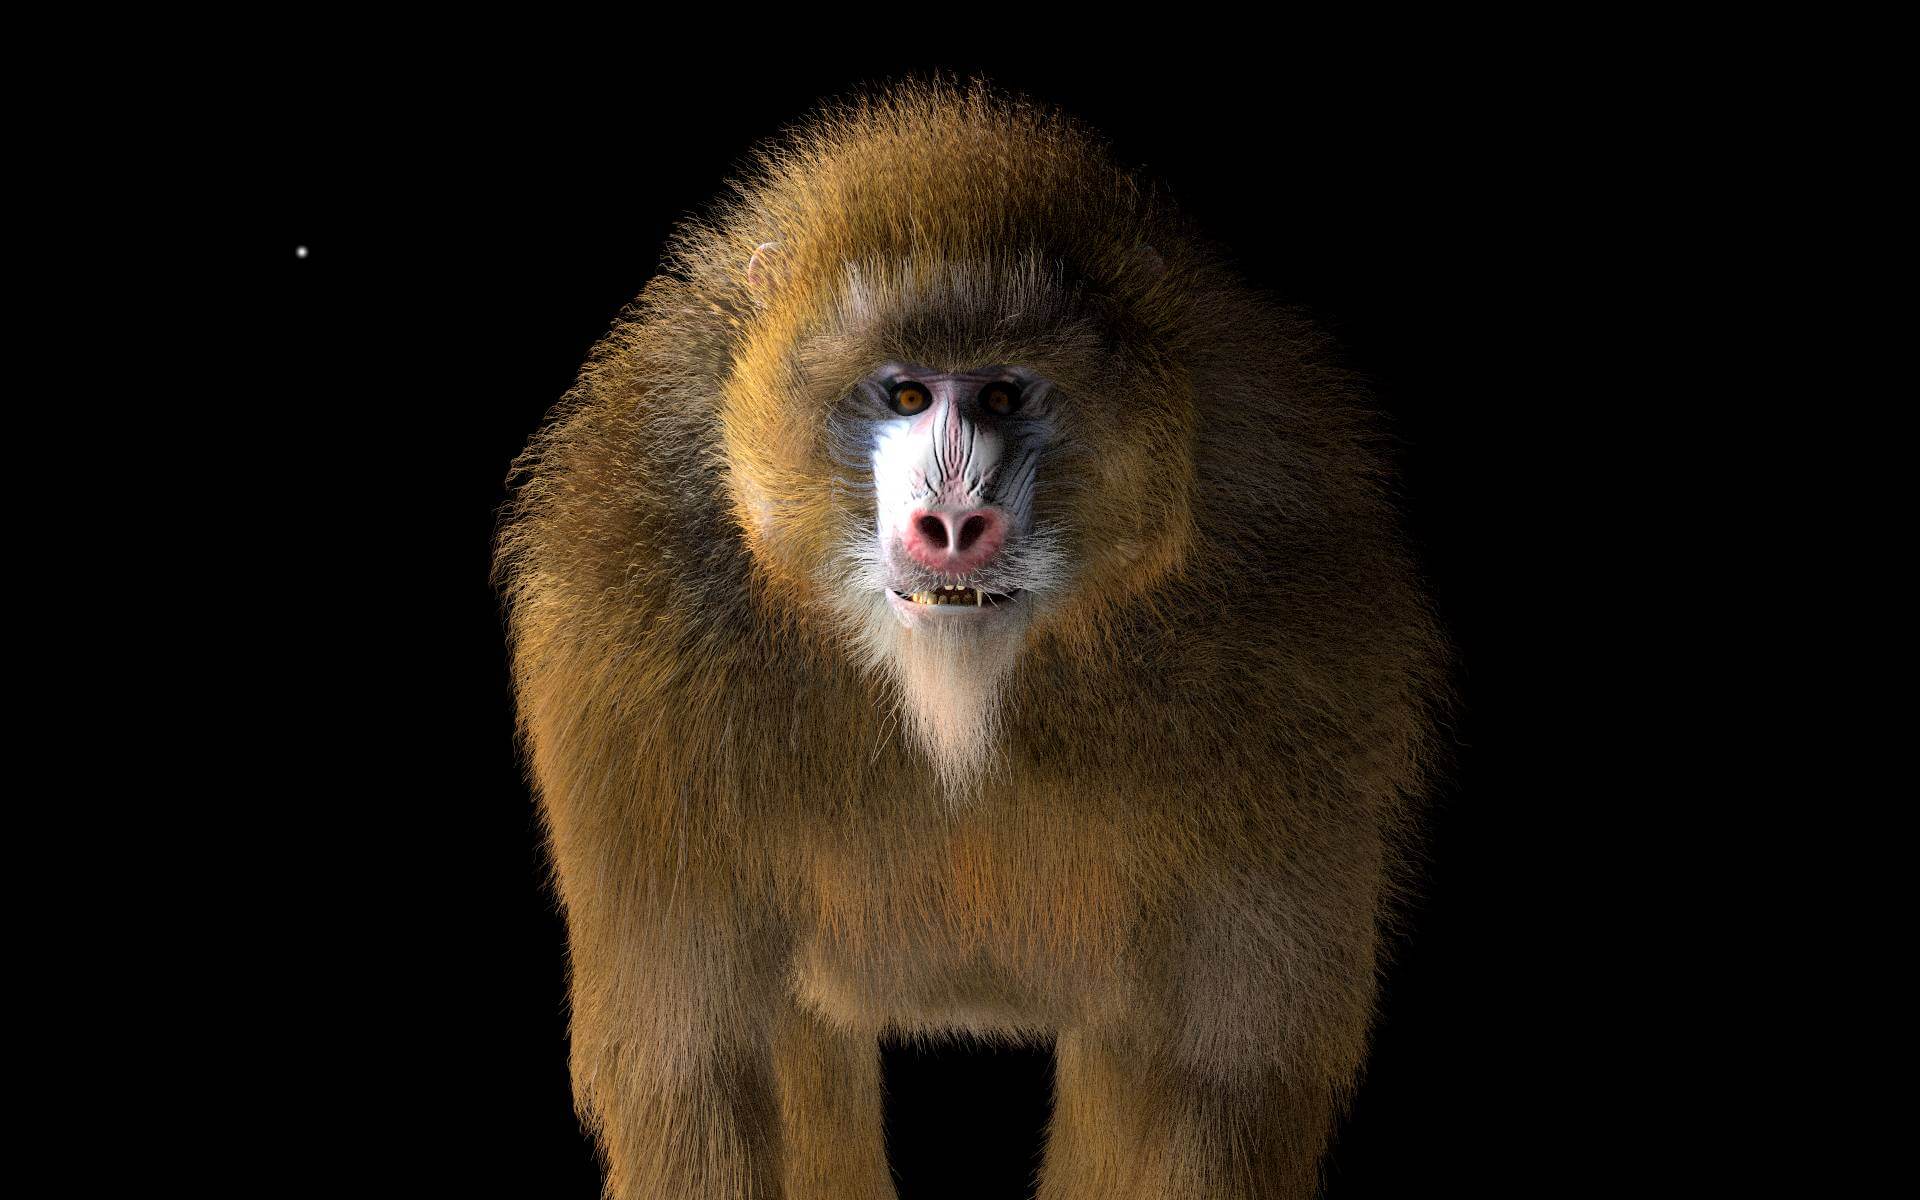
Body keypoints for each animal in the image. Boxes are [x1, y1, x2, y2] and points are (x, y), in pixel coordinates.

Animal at [495, 80, 1449, 1199]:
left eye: (1001, 393)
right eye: (906, 394)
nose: (952, 524)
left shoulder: (1298, 641)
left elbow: (1208, 1078)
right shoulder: (633, 646)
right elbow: (714, 1072)